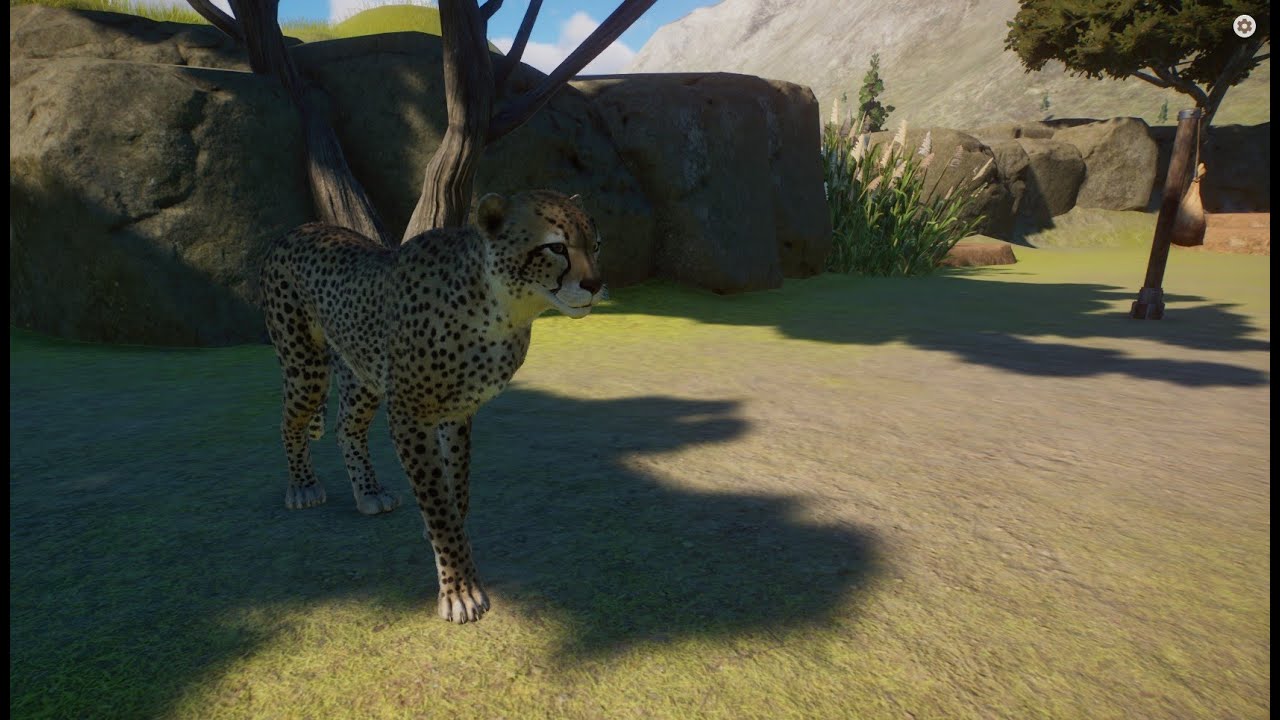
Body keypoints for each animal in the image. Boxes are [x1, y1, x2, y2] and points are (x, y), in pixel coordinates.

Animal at [258, 190, 604, 623]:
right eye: (556, 247)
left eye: (595, 245)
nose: (595, 284)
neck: (500, 309)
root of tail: (300, 228)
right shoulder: (411, 414)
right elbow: (437, 499)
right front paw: (461, 590)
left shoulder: (457, 412)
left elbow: (457, 481)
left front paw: (450, 533)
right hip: (305, 366)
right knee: (291, 423)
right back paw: (303, 486)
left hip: (361, 373)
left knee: (347, 429)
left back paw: (368, 492)